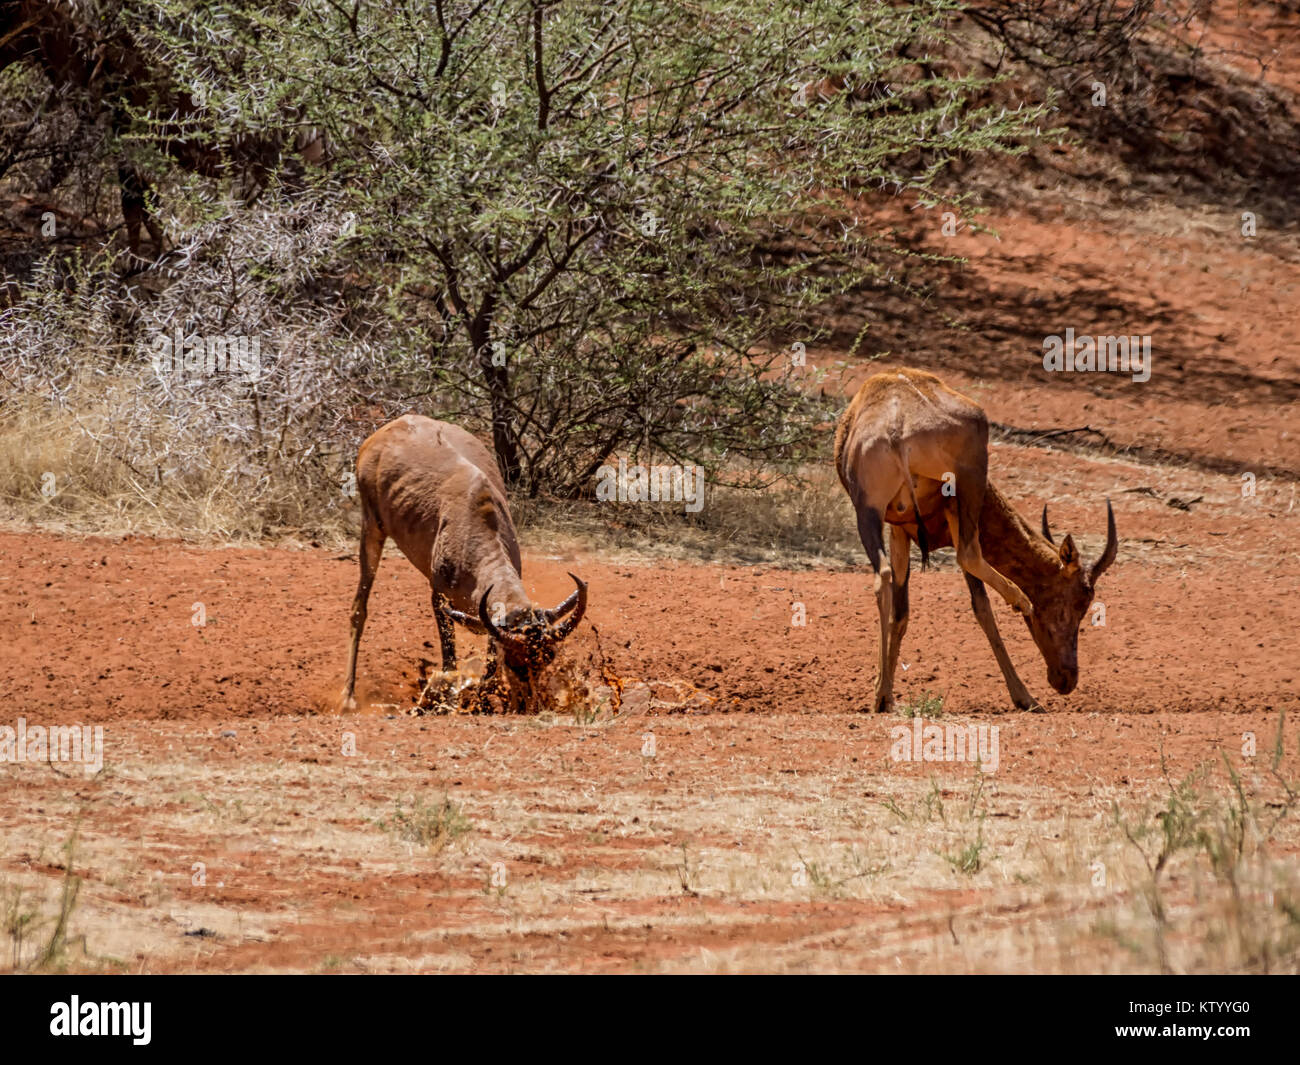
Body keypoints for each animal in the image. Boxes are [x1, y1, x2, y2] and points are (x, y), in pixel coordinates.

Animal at [340, 414, 587, 713]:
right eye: (515, 663)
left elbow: (490, 668)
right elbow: (450, 661)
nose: (530, 705)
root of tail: (386, 430)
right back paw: (348, 698)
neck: (475, 510)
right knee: (359, 607)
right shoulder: (439, 597)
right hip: (372, 527)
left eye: (547, 657)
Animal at [834, 368, 1117, 712]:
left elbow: (901, 613)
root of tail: (896, 427)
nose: (1066, 679)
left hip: (868, 512)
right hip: (968, 482)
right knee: (968, 554)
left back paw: (880, 696)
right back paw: (1019, 599)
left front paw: (885, 693)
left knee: (883, 576)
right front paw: (1025, 696)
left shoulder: (899, 526)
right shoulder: (950, 510)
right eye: (1079, 600)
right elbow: (981, 607)